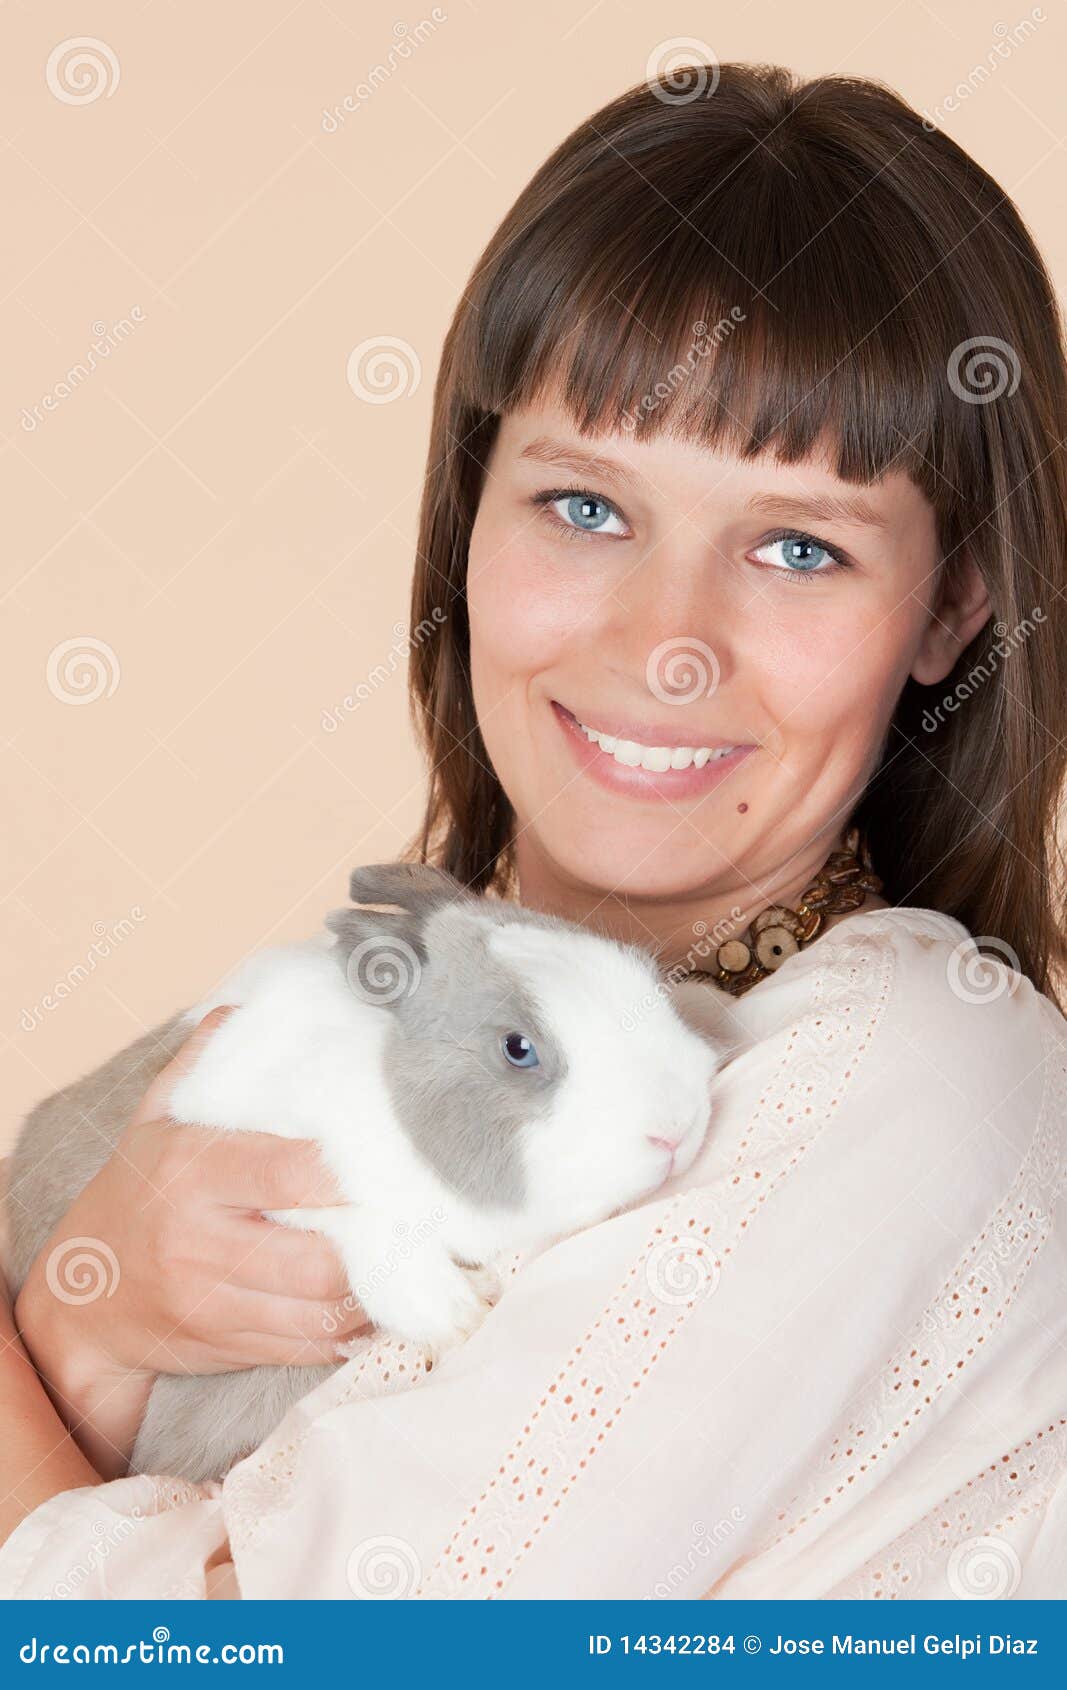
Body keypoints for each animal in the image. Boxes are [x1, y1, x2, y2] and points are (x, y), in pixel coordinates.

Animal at [5, 862, 722, 1484]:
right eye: (518, 1049)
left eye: (642, 975)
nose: (679, 1125)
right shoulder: (245, 1137)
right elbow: (360, 1225)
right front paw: (457, 1313)